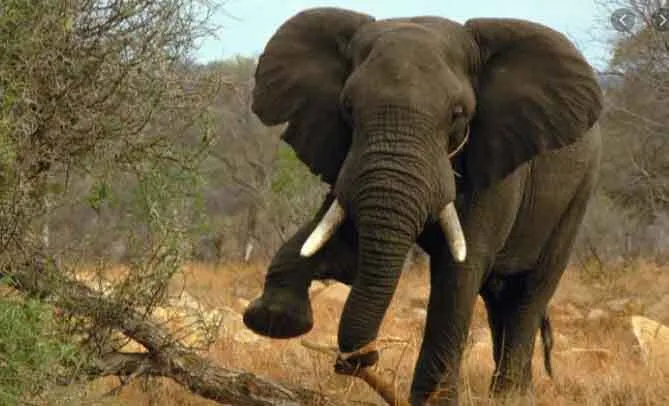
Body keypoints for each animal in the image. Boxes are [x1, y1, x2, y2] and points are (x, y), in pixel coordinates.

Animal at [242, 7, 602, 405]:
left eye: (458, 113)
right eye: (347, 108)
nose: (357, 360)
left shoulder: (496, 164)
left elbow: (459, 272)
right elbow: (338, 239)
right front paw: (275, 317)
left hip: (579, 194)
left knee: (527, 296)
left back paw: (510, 396)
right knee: (499, 299)